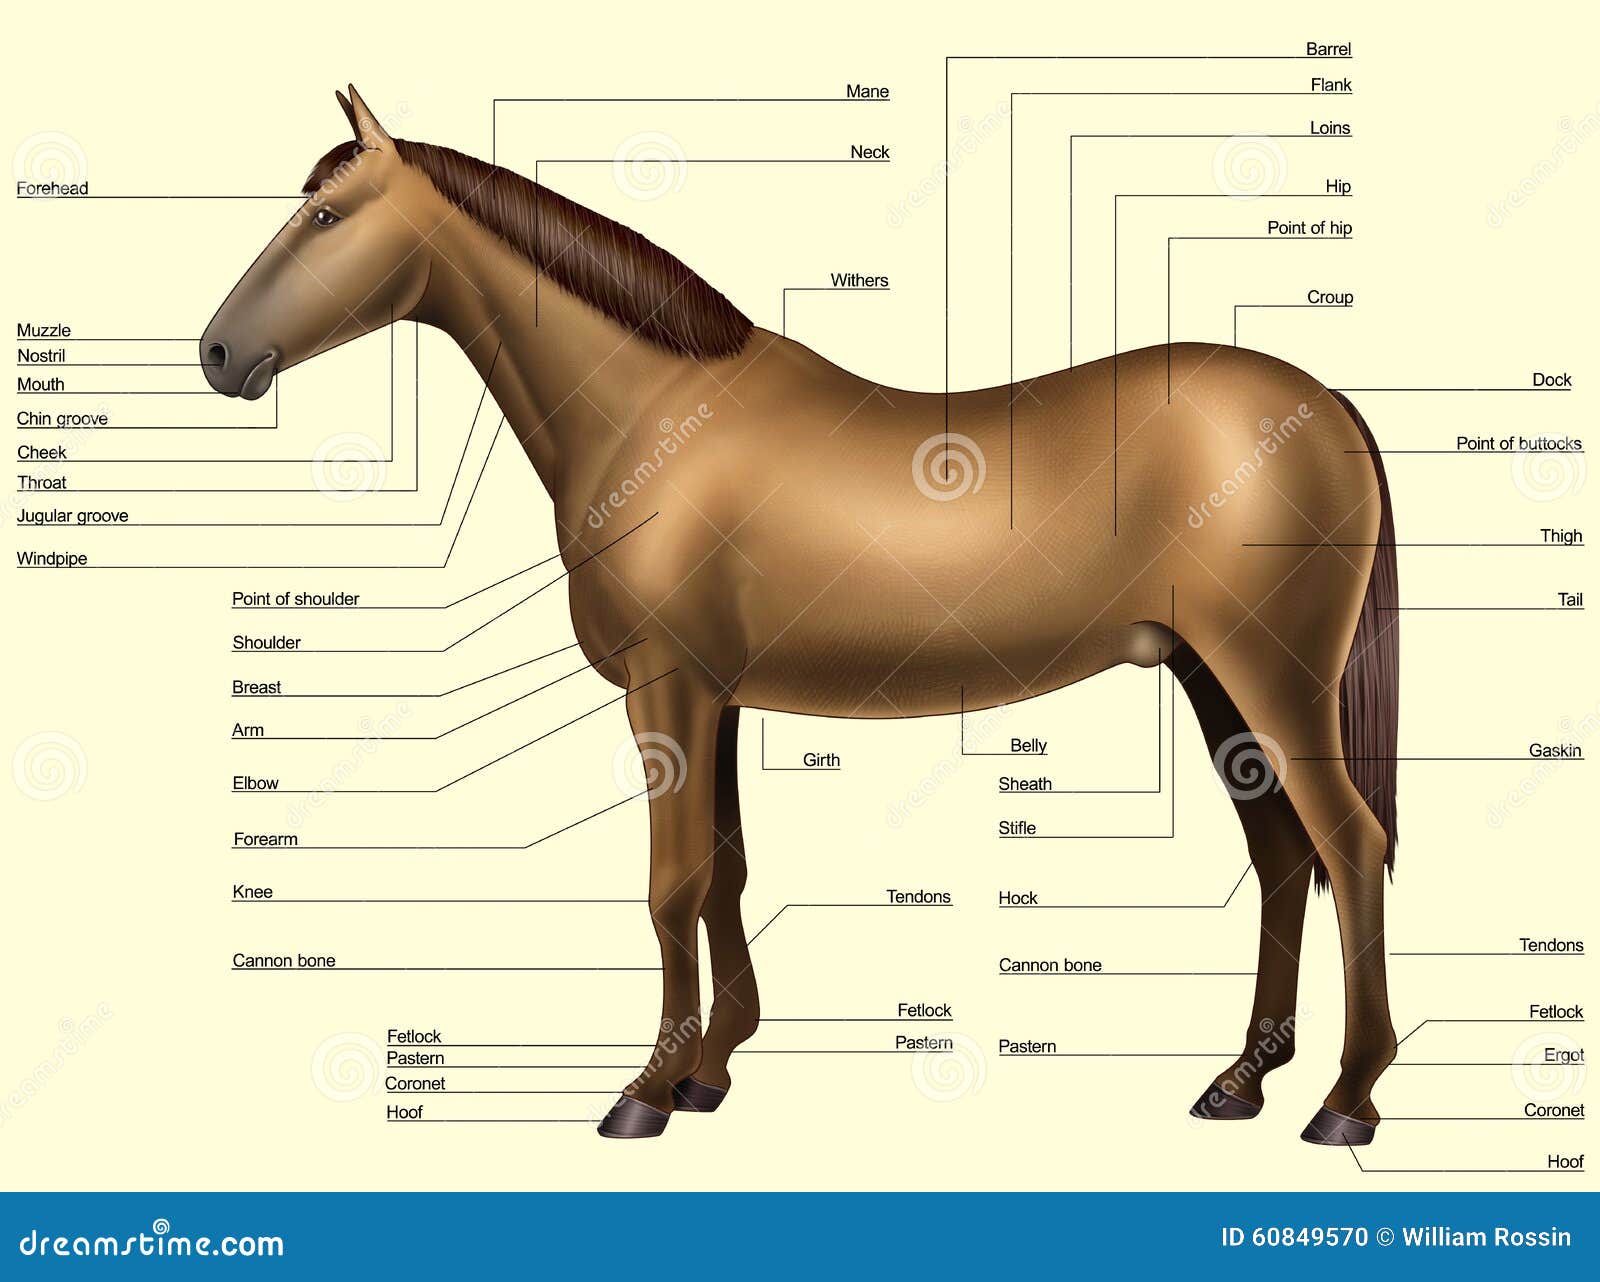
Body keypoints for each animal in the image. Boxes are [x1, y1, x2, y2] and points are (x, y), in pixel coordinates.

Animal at [201, 86, 1400, 1144]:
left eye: (324, 216)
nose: (217, 352)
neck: (655, 416)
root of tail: (1322, 405)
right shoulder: (716, 696)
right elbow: (723, 871)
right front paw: (709, 1072)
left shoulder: (667, 687)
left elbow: (671, 883)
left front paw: (645, 1092)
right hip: (1210, 677)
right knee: (1283, 856)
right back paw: (1240, 1081)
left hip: (1272, 674)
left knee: (1350, 846)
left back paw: (1345, 1099)